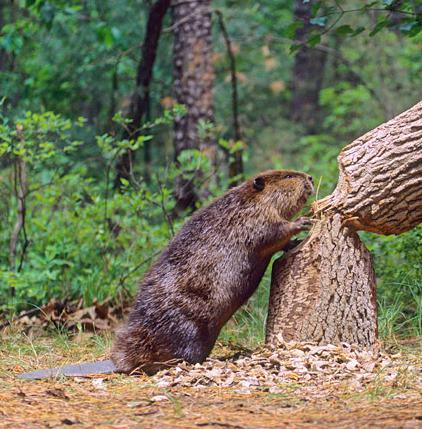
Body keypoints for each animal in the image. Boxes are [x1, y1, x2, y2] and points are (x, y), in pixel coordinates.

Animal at [19, 171, 314, 378]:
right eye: (288, 176)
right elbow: (271, 233)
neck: (245, 201)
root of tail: (118, 361)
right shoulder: (252, 220)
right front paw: (302, 222)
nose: (310, 177)